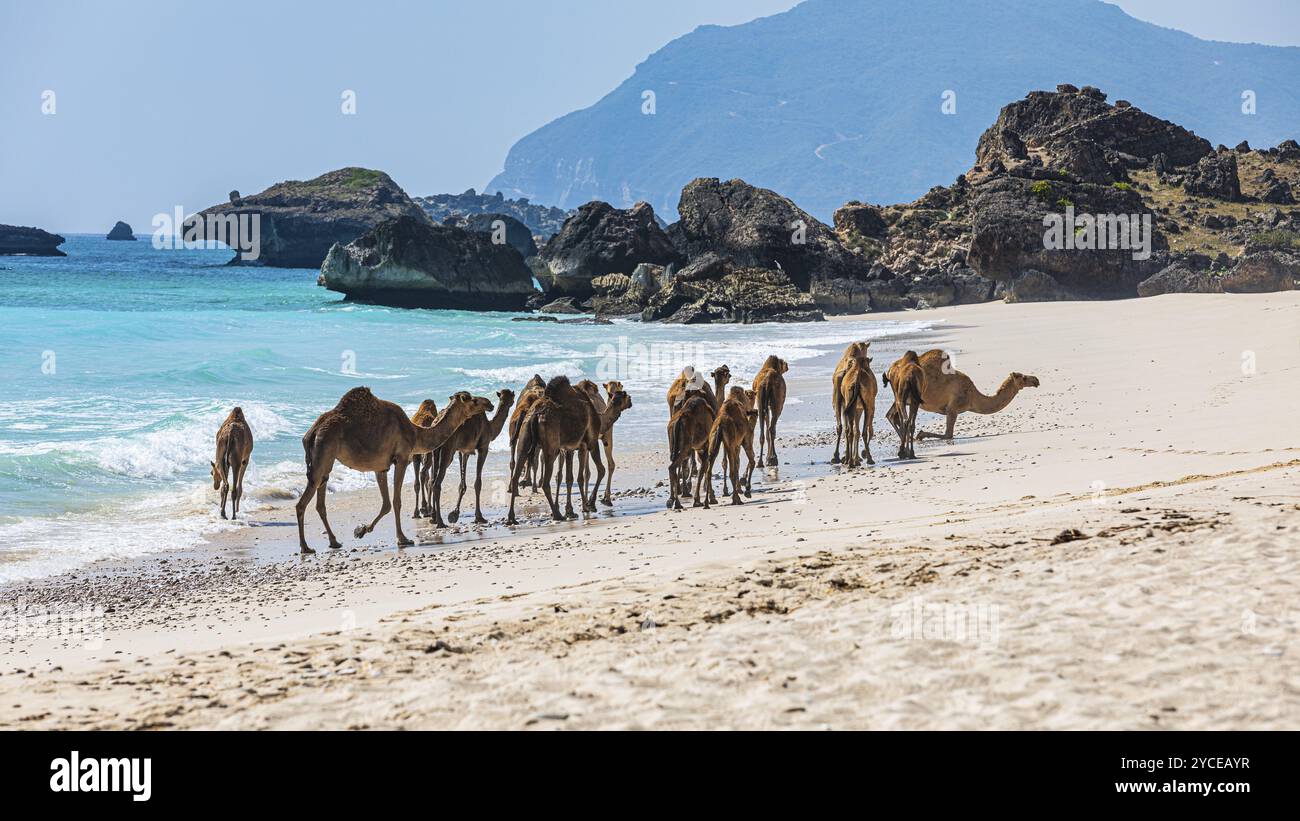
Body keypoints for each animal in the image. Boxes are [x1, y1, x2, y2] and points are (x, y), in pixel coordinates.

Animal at [295, 388, 491, 553]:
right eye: (472, 400)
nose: (489, 403)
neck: (416, 433)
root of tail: (311, 433)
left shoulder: (380, 468)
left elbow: (386, 504)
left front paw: (361, 530)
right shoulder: (402, 458)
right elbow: (396, 501)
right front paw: (403, 538)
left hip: (326, 461)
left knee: (320, 502)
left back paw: (334, 542)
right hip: (323, 453)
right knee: (302, 503)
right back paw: (306, 547)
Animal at [428, 389, 515, 527]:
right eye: (512, 397)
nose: (491, 405)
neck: (490, 427)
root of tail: (435, 422)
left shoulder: (464, 452)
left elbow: (462, 484)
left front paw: (455, 513)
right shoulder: (483, 447)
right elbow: (477, 483)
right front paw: (479, 517)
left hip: (435, 452)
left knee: (431, 480)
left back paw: (433, 517)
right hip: (448, 450)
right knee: (437, 483)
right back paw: (440, 521)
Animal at [507, 376, 604, 525]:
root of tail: (535, 414)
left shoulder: (568, 448)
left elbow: (570, 478)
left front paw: (571, 511)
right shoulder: (589, 442)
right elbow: (592, 473)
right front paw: (589, 505)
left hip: (524, 439)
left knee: (516, 474)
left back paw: (511, 517)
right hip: (551, 447)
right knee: (545, 482)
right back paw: (557, 514)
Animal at [885, 349, 1041, 441]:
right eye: (1023, 378)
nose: (1036, 380)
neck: (973, 397)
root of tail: (890, 370)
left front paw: (919, 435)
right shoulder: (953, 408)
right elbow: (948, 435)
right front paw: (920, 435)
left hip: (902, 397)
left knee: (891, 415)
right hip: (902, 395)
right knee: (894, 415)